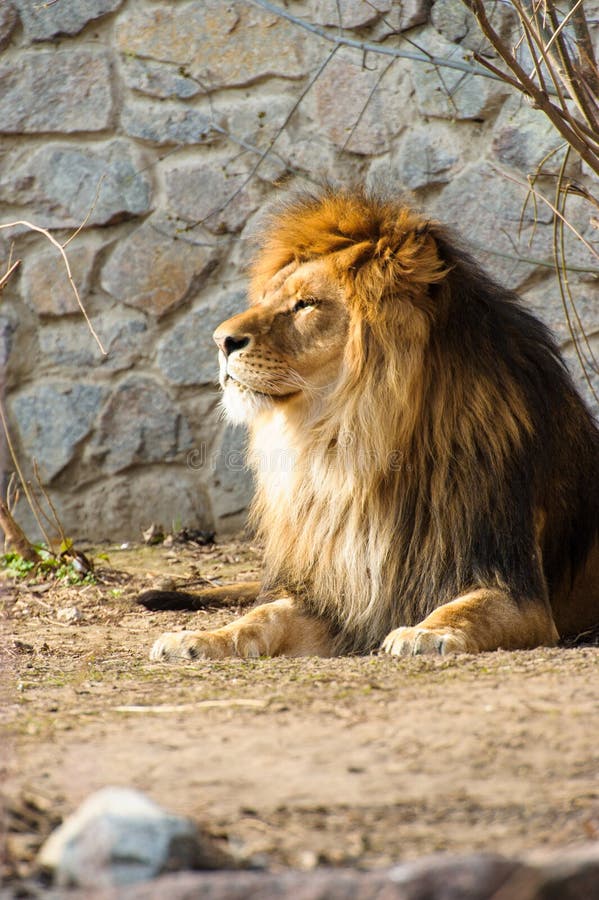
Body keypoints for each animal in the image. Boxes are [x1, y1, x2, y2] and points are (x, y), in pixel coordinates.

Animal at [142, 188, 599, 661]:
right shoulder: (337, 595)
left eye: (305, 304)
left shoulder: (519, 592)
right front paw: (197, 639)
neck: (349, 448)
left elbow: (467, 609)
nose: (220, 341)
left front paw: (424, 633)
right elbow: (264, 616)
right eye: (266, 299)